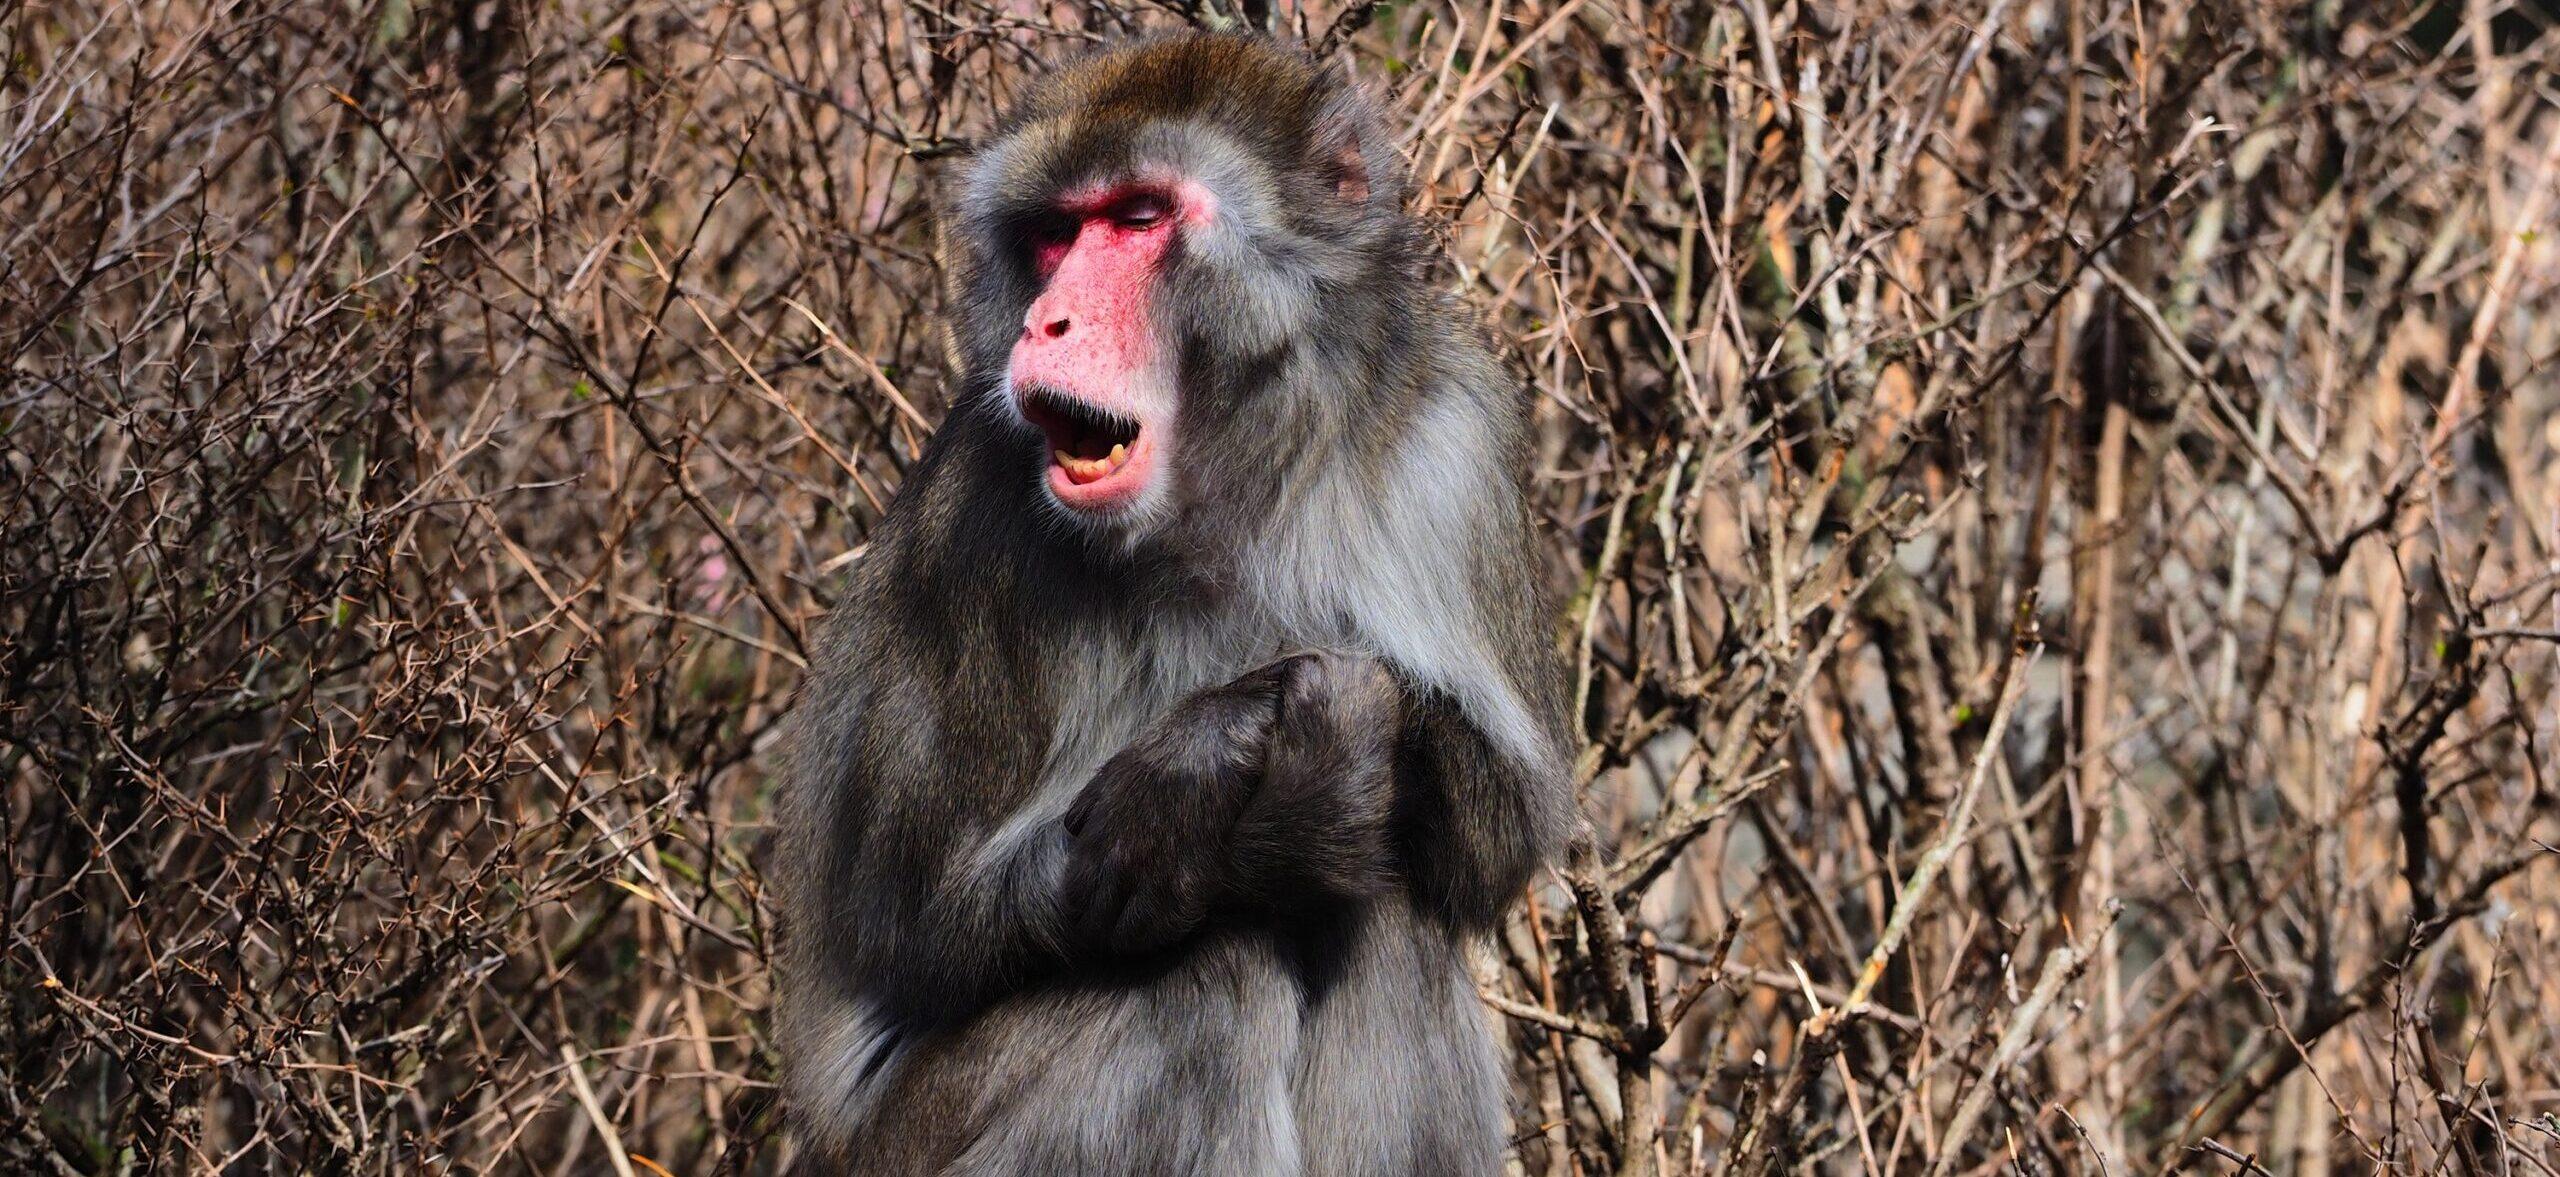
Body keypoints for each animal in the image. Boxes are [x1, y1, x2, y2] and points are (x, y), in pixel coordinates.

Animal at [776, 32, 1572, 1176]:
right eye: (1056, 233)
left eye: (1139, 217)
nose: (1046, 320)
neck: (1223, 473)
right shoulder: (972, 521)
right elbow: (915, 930)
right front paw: (1246, 813)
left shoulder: (1456, 439)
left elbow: (1497, 837)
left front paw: (1266, 729)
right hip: (904, 1145)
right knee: (1202, 980)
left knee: (1390, 914)